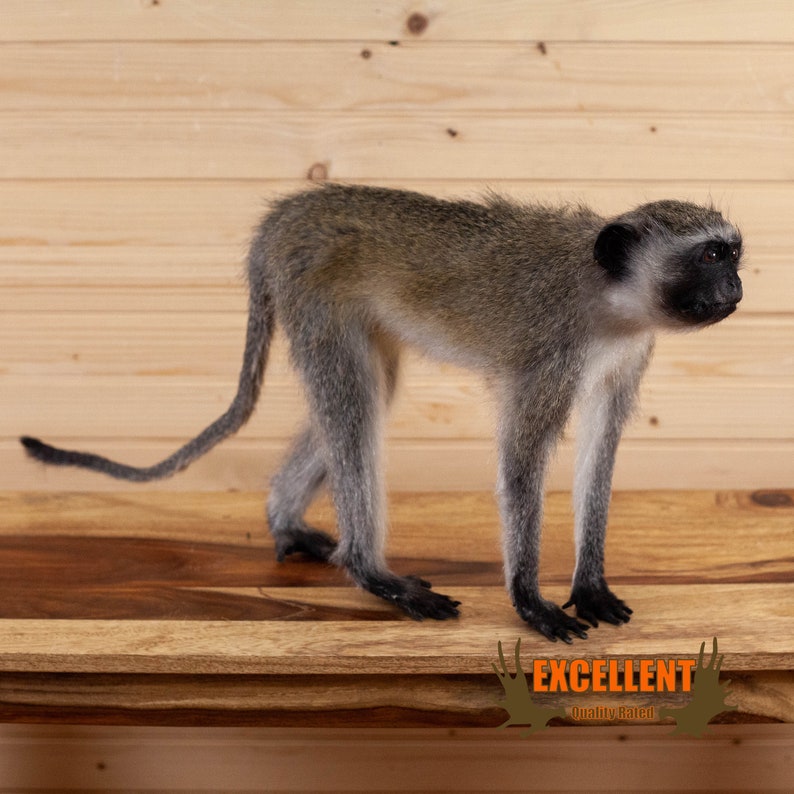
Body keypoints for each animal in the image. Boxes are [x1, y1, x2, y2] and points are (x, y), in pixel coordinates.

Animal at [21, 183, 743, 642]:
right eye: (710, 255)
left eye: (731, 252)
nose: (737, 285)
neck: (607, 298)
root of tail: (292, 212)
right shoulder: (553, 352)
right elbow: (521, 462)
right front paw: (529, 600)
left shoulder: (627, 355)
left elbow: (600, 452)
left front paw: (588, 584)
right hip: (312, 291)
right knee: (355, 399)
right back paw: (368, 570)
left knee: (367, 390)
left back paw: (288, 525)